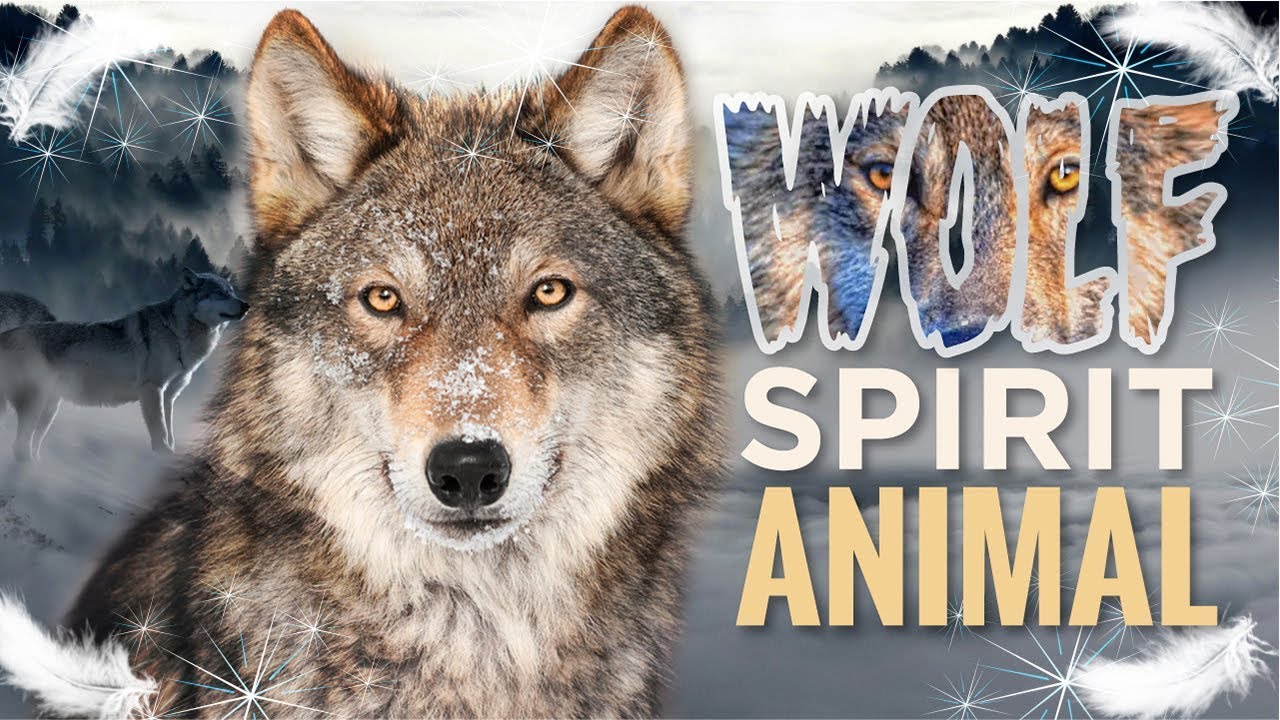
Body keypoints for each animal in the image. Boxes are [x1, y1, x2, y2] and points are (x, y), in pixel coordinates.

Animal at [0, 269, 247, 461]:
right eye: (220, 293)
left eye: (232, 291)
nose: (246, 305)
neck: (177, 334)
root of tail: (6, 335)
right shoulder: (152, 390)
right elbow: (160, 431)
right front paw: (164, 454)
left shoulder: (169, 396)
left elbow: (170, 431)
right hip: (37, 403)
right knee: (19, 447)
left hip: (50, 409)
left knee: (29, 444)